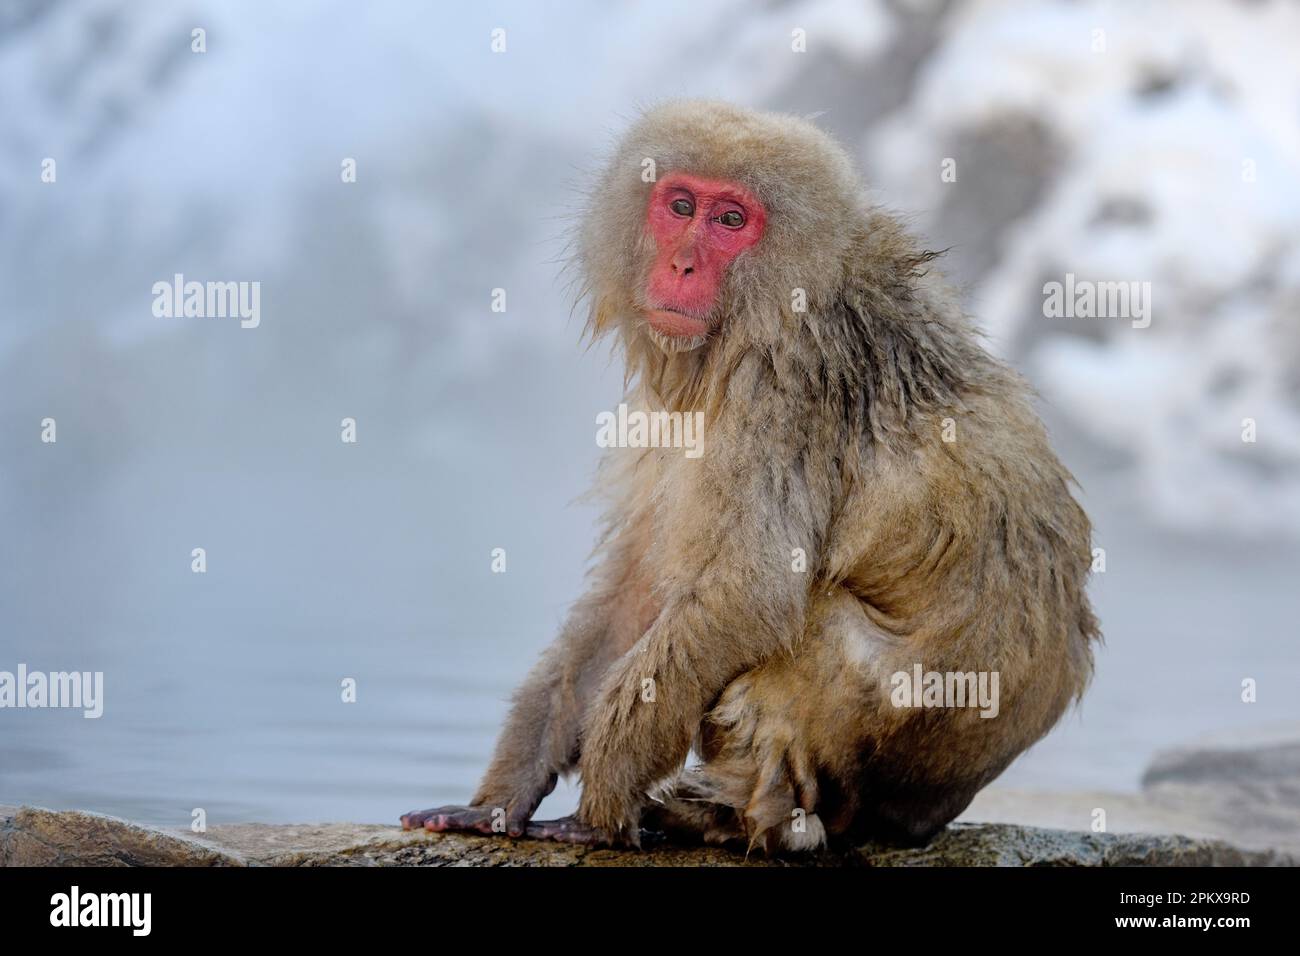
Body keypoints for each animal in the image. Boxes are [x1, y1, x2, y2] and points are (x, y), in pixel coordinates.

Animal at [402, 100, 1100, 852]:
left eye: (731, 220)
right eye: (681, 205)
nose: (681, 264)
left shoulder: (778, 389)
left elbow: (748, 591)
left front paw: (601, 808)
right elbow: (635, 591)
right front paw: (501, 798)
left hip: (910, 734)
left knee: (819, 626)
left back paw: (742, 817)